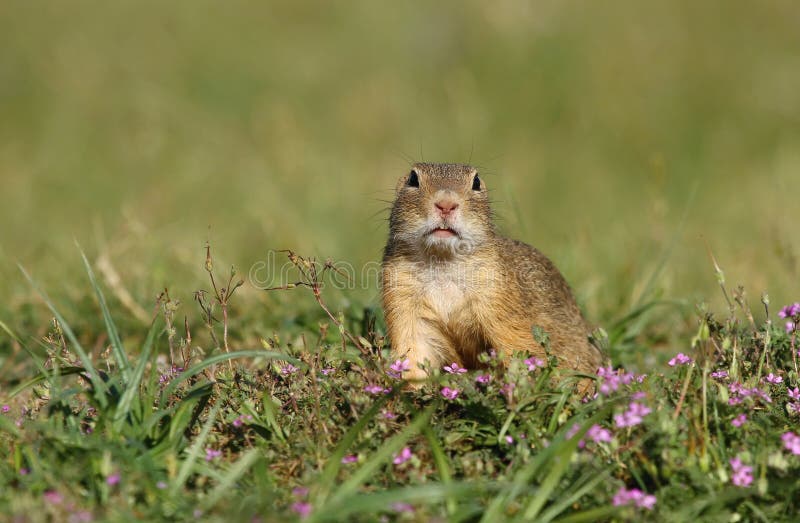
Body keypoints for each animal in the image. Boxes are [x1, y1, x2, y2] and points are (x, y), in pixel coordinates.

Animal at [381, 163, 603, 390]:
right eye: (413, 179)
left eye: (476, 182)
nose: (446, 204)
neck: (442, 262)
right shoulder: (402, 298)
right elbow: (414, 350)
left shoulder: (499, 300)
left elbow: (517, 348)